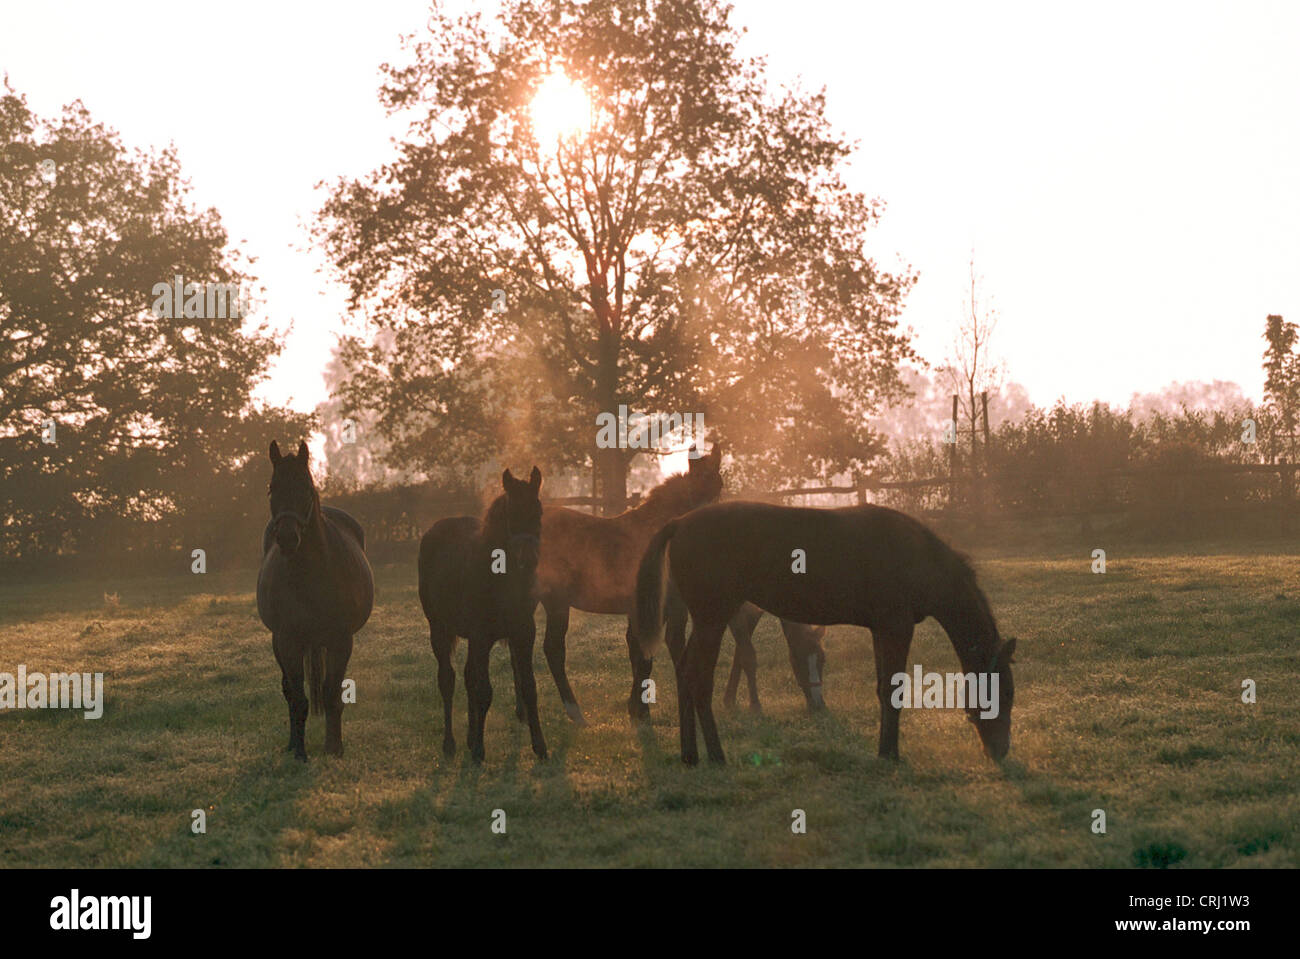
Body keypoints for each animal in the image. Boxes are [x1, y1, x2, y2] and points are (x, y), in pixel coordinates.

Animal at [256, 440, 374, 761]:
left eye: (306, 488)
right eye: (272, 488)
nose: (287, 538)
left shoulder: (340, 640)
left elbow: (332, 693)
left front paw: (334, 747)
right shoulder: (288, 640)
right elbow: (297, 697)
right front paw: (299, 751)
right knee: (288, 689)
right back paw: (290, 744)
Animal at [418, 467, 545, 763]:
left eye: (539, 512)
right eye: (512, 514)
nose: (529, 560)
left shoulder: (524, 633)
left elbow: (529, 687)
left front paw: (540, 747)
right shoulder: (481, 635)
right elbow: (484, 691)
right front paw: (478, 751)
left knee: (467, 677)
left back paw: (468, 736)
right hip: (439, 628)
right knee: (448, 679)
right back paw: (450, 743)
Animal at [635, 500, 1016, 766]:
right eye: (1001, 695)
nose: (1000, 751)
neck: (918, 556)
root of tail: (679, 523)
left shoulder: (882, 629)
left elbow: (883, 689)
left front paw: (884, 751)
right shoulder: (897, 627)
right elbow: (893, 690)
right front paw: (891, 754)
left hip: (706, 621)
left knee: (685, 673)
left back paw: (690, 755)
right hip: (712, 618)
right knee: (698, 678)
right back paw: (715, 755)